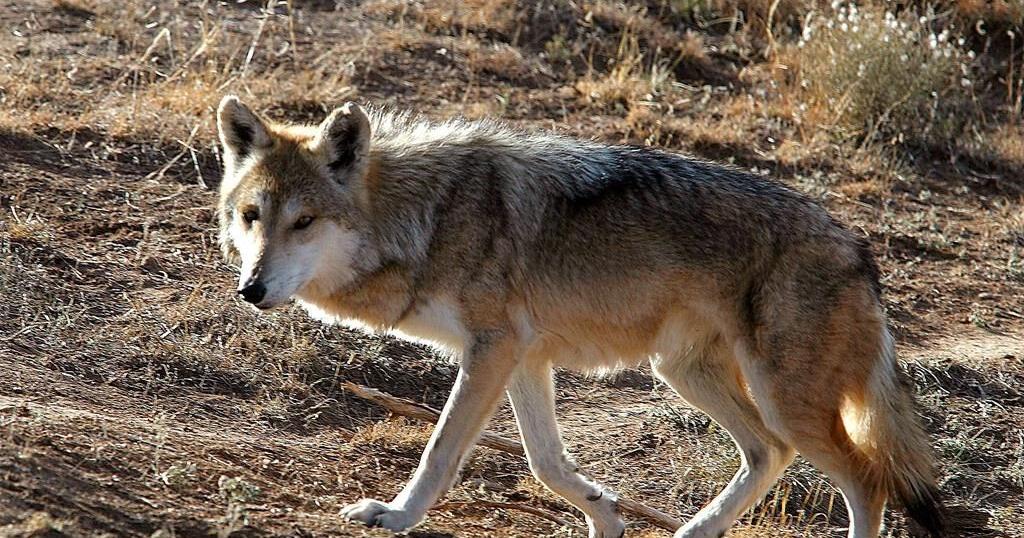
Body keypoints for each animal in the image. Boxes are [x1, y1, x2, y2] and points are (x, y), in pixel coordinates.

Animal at [214, 95, 944, 538]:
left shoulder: (494, 349)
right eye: (252, 217)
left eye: (304, 222)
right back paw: (693, 530)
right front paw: (604, 516)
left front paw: (394, 515)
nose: (251, 288)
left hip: (778, 397)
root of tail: (858, 250)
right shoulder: (519, 356)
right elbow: (545, 463)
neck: (426, 219)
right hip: (688, 375)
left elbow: (440, 451)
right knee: (771, 454)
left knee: (868, 481)